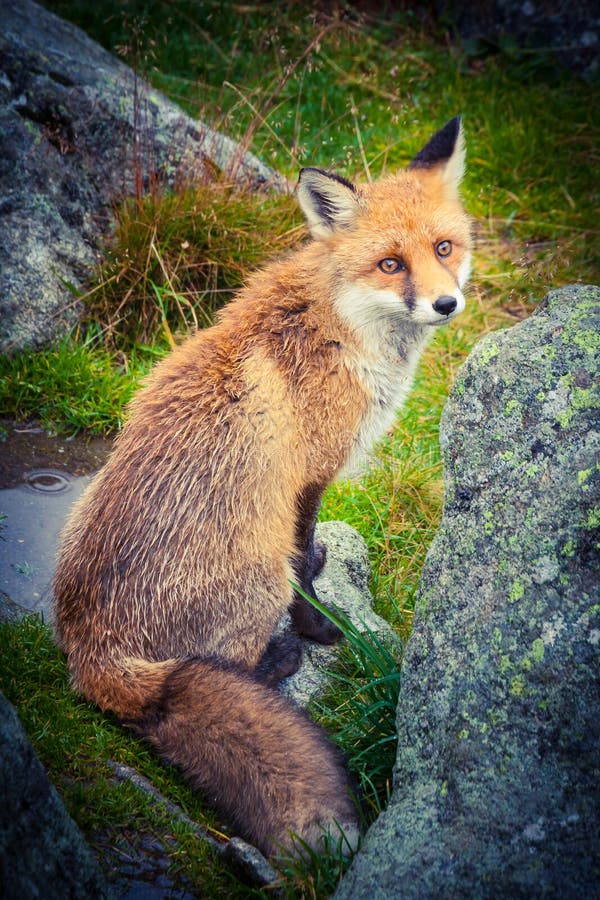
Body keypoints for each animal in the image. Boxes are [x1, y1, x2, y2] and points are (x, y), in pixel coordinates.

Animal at [53, 117, 471, 858]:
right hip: (257, 574)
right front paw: (318, 628)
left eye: (444, 248)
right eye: (390, 264)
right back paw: (275, 660)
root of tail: (94, 658)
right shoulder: (308, 477)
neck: (338, 325)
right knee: (233, 662)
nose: (447, 303)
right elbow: (303, 565)